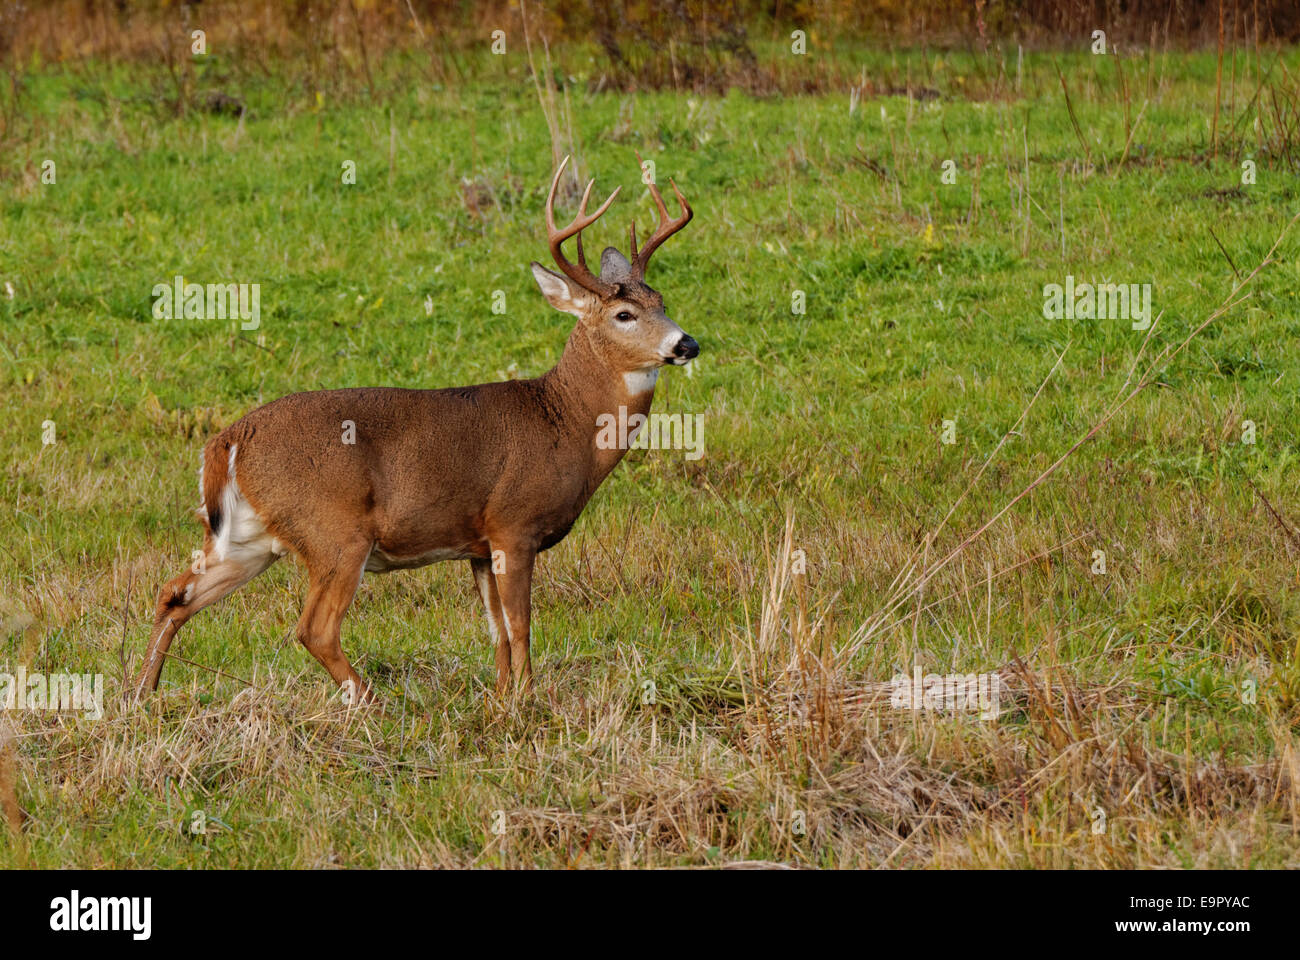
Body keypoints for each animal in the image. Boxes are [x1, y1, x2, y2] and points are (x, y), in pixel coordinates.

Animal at [132, 156, 697, 704]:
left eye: (663, 302)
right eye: (624, 314)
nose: (686, 343)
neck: (565, 419)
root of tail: (227, 442)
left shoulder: (477, 543)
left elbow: (496, 632)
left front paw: (502, 702)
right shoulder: (514, 525)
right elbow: (521, 627)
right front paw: (531, 704)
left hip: (248, 536)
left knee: (174, 594)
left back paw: (138, 695)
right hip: (334, 529)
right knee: (313, 628)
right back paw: (372, 702)